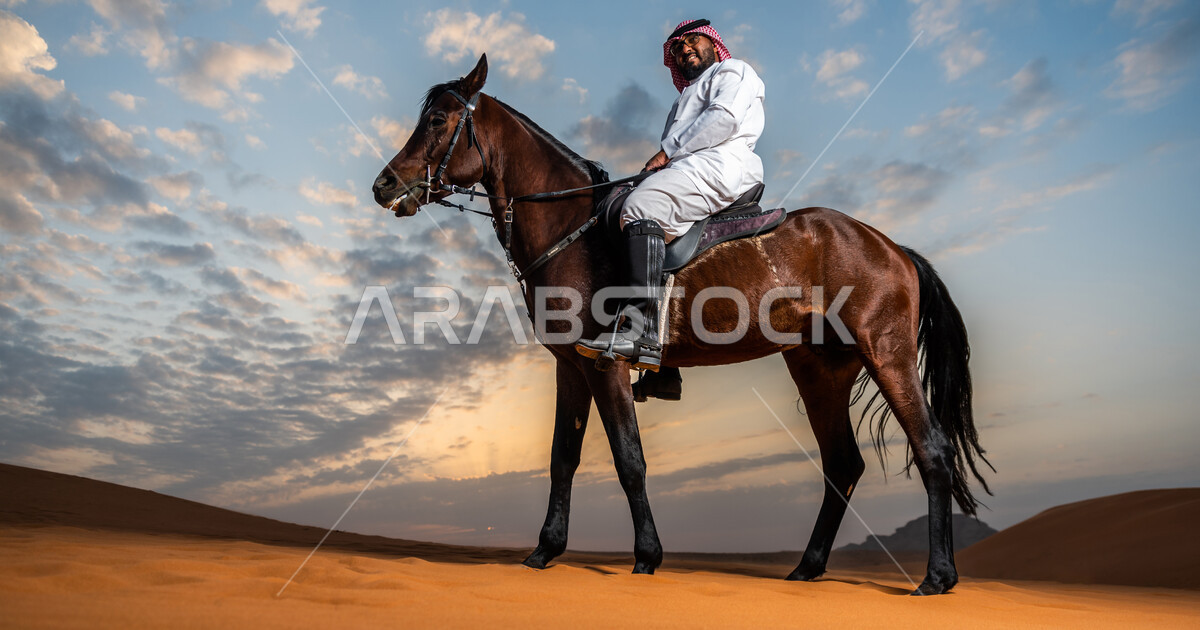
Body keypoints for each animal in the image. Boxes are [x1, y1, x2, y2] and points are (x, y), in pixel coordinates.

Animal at [370, 54, 991, 595]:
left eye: (438, 120)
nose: (384, 186)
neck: (571, 224)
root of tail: (892, 248)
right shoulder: (570, 367)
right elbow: (562, 458)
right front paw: (545, 550)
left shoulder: (606, 368)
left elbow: (629, 460)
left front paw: (647, 556)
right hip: (819, 370)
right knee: (842, 463)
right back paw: (808, 568)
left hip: (885, 355)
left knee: (931, 450)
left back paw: (937, 576)